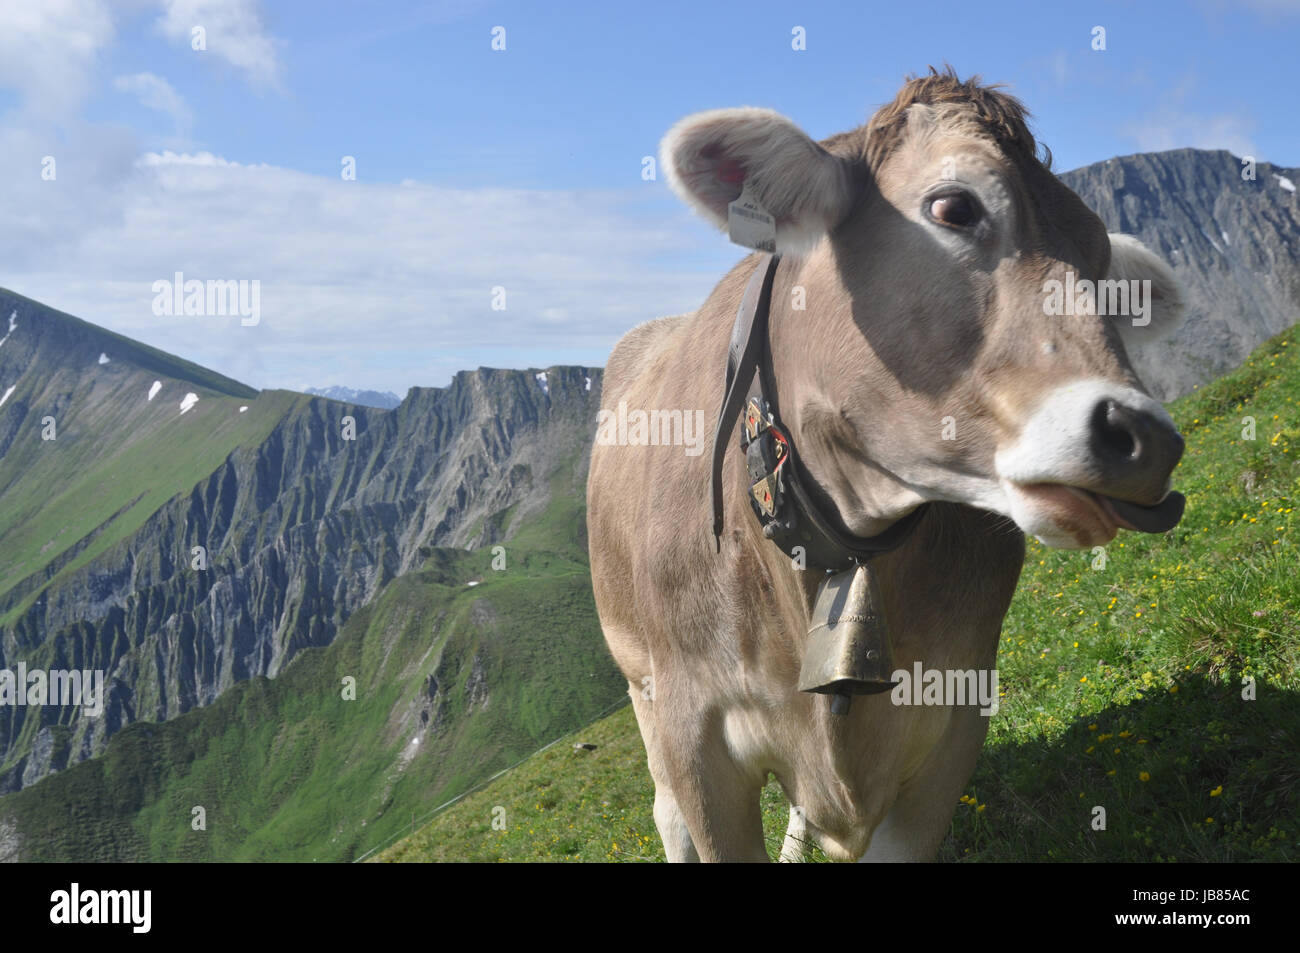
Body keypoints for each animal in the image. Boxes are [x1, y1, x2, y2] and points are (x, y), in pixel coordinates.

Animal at [586, 69, 1187, 862]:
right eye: (955, 207)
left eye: (1099, 267)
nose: (1146, 436)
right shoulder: (696, 737)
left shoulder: (955, 716)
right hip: (641, 690)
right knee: (666, 814)